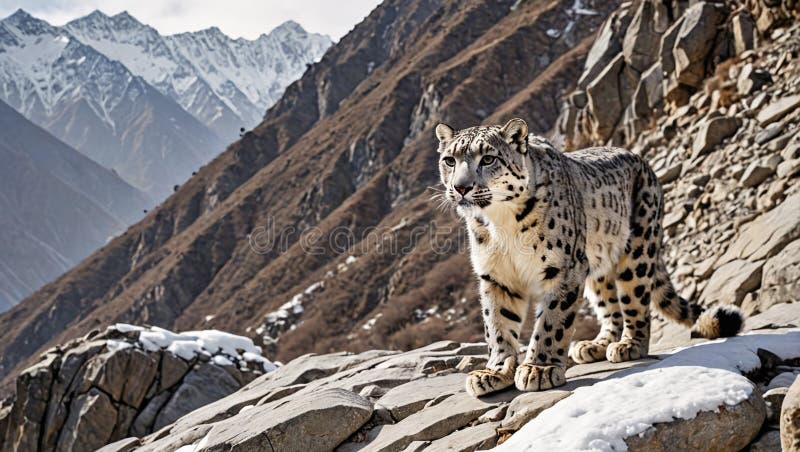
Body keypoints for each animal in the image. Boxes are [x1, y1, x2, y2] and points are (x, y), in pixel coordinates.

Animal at [435, 118, 744, 397]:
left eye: (488, 158)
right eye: (450, 160)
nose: (461, 187)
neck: (501, 223)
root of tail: (643, 161)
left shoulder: (563, 268)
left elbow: (552, 322)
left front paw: (540, 368)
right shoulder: (496, 276)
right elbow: (497, 324)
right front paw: (495, 372)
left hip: (637, 253)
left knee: (636, 303)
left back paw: (628, 345)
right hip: (596, 264)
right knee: (609, 305)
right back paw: (594, 345)